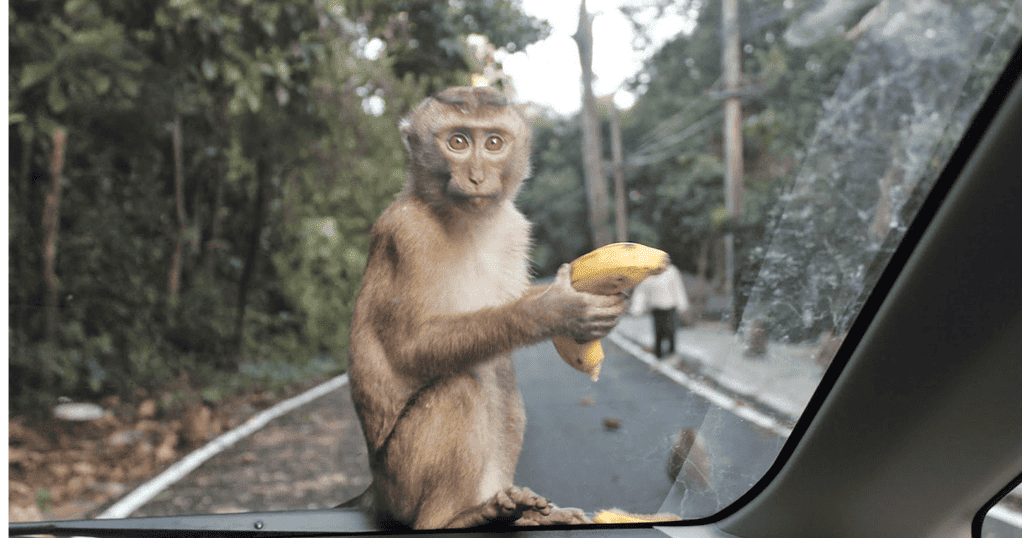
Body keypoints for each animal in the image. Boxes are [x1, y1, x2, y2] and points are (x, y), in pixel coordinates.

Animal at [342, 86, 625, 529]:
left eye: (493, 143)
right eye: (457, 142)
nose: (476, 176)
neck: (462, 220)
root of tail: (375, 491)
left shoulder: (513, 228)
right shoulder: (407, 233)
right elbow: (411, 347)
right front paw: (555, 310)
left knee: (499, 374)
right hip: (400, 480)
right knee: (462, 385)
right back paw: (455, 518)